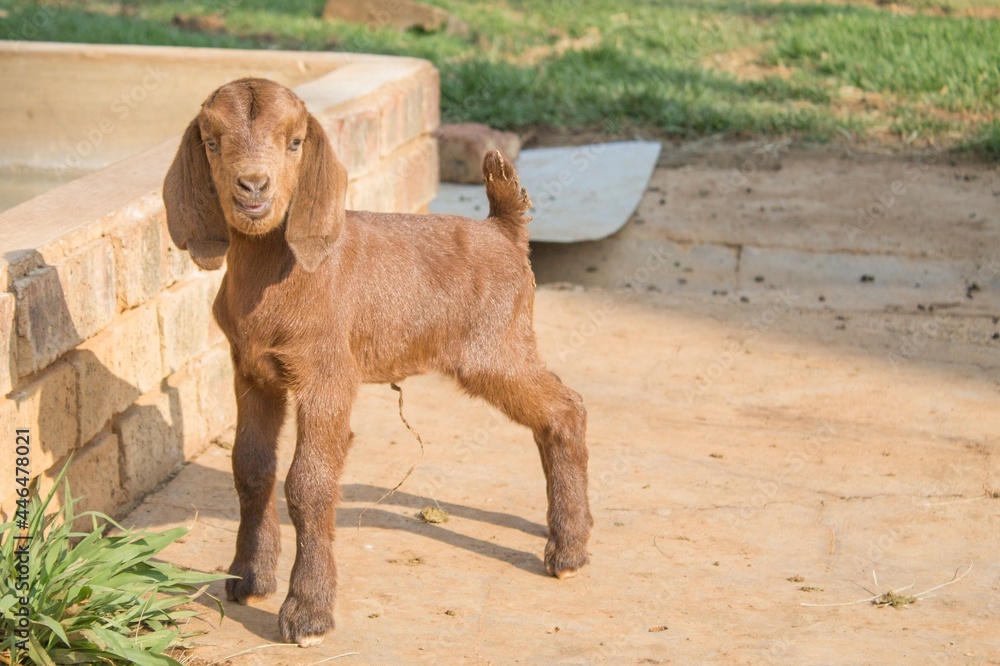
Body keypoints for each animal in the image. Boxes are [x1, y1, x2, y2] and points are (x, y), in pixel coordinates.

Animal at [162, 78, 592, 647]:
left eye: (295, 142)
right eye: (211, 142)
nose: (253, 187)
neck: (277, 273)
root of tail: (503, 230)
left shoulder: (327, 374)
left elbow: (308, 483)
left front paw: (308, 613)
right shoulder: (252, 372)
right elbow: (251, 468)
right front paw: (249, 579)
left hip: (496, 349)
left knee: (566, 408)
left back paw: (568, 551)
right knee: (552, 416)